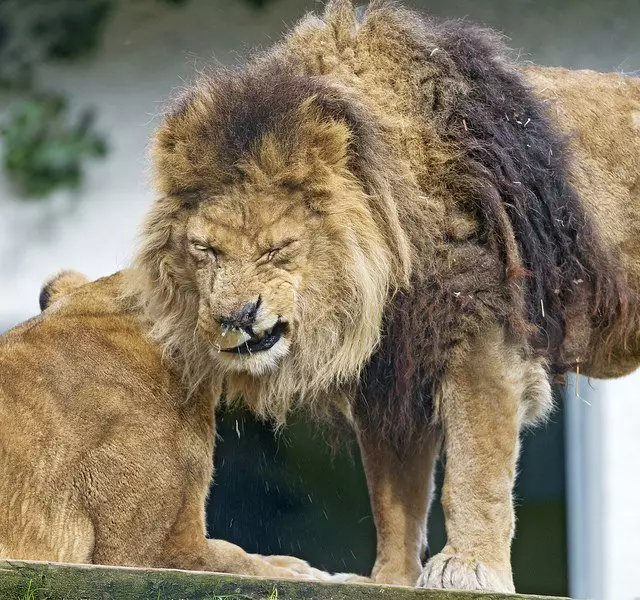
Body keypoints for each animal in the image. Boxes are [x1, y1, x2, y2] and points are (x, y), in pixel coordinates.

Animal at [1, 0, 640, 592]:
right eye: (206, 249)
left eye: (279, 248)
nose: (236, 316)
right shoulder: (388, 375)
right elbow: (393, 496)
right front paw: (387, 579)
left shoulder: (482, 329)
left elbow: (474, 468)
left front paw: (469, 568)